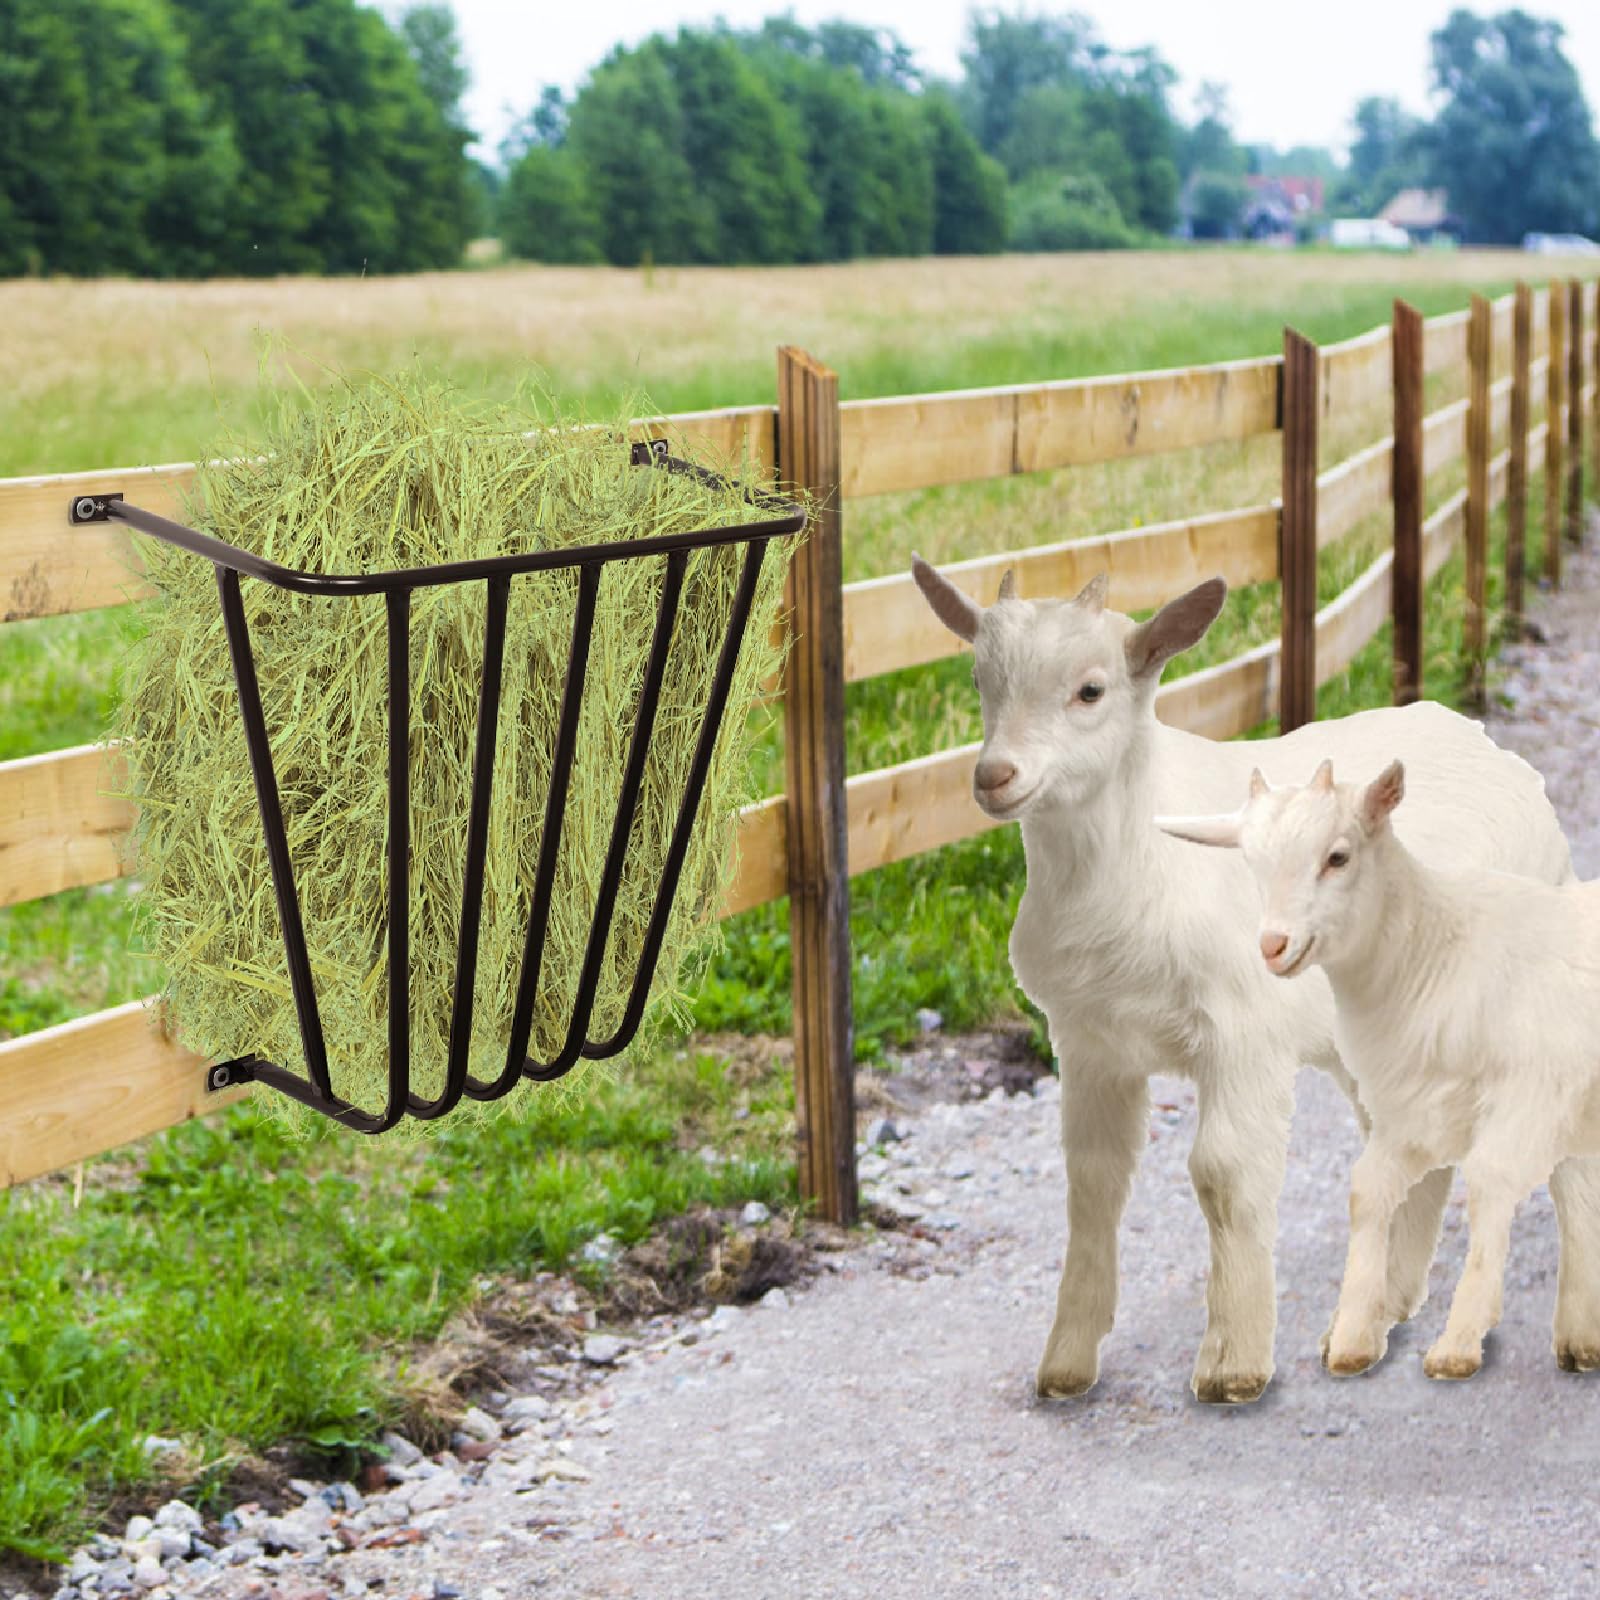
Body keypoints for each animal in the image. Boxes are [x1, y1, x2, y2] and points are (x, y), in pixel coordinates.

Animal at [1157, 758, 1600, 1379]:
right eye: (1252, 863)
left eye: (1338, 857)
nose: (1273, 946)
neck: (1438, 954)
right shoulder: (1418, 1111)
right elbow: (1366, 1191)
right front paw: (1353, 1337)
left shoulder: (1531, 1097)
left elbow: (1490, 1185)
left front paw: (1458, 1343)